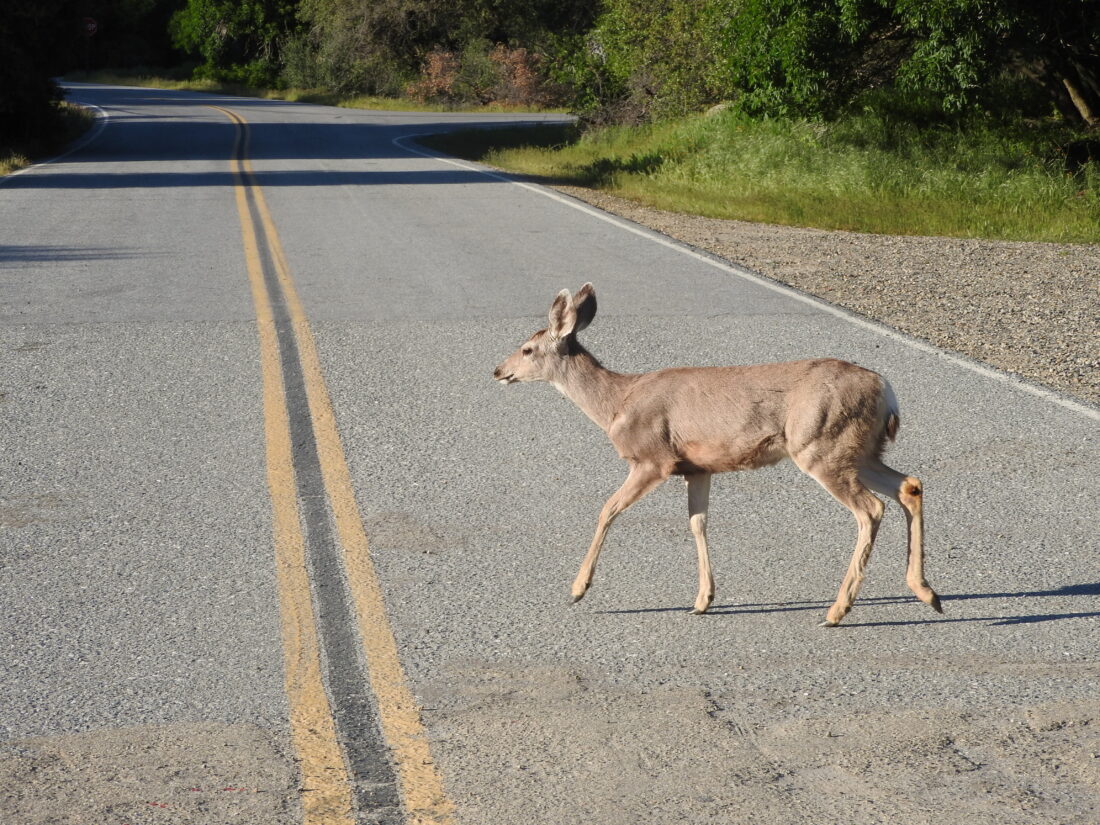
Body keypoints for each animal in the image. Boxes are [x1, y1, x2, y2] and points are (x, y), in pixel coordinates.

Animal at [492, 283, 942, 626]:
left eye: (528, 349)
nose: (498, 370)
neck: (616, 403)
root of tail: (885, 390)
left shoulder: (653, 459)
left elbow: (608, 509)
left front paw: (577, 589)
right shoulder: (697, 467)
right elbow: (698, 523)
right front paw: (703, 600)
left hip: (822, 446)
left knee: (871, 509)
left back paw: (837, 611)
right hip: (858, 450)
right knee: (909, 485)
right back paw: (926, 592)